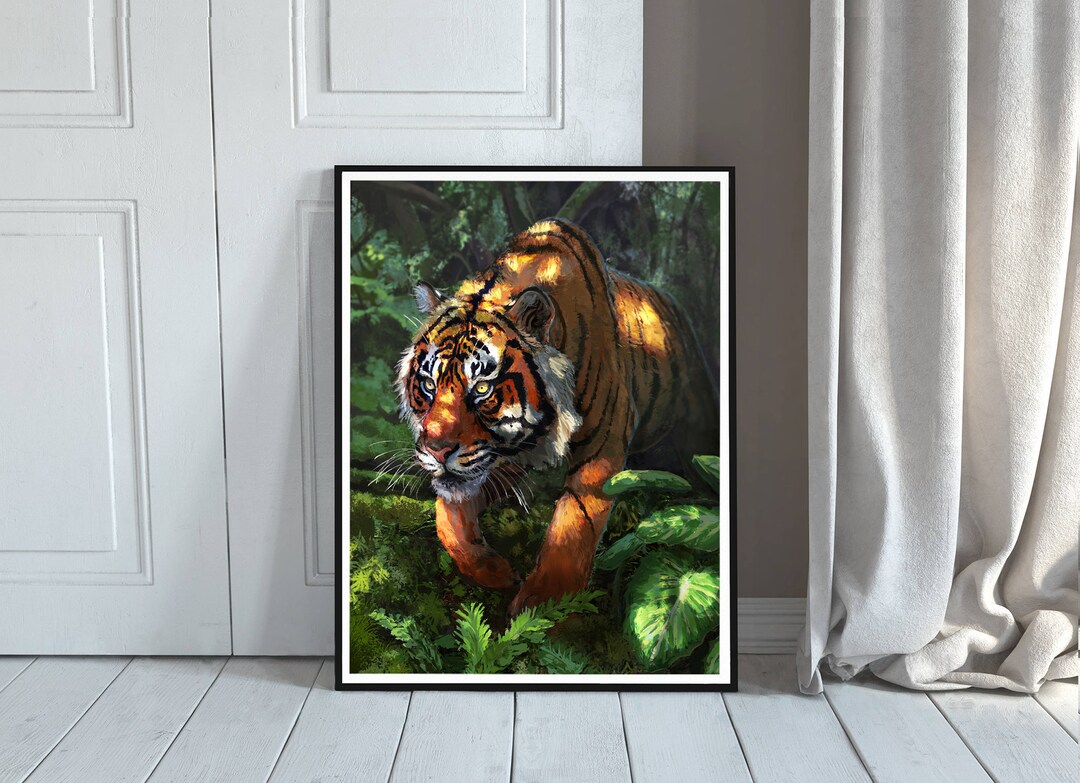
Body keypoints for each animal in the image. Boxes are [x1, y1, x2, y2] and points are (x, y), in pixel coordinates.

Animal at [397, 218, 718, 615]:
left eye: (482, 388)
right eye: (428, 384)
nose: (437, 450)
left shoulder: (602, 447)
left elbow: (574, 521)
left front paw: (542, 602)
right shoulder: (500, 457)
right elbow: (448, 511)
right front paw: (491, 570)